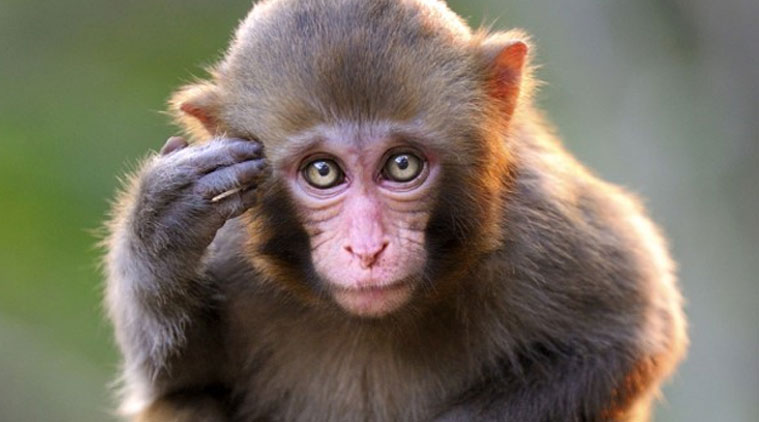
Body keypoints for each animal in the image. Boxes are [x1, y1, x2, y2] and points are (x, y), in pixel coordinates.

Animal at [103, 0, 687, 421]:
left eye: (402, 165)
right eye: (323, 172)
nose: (367, 249)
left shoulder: (543, 223)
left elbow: (628, 339)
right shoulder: (229, 233)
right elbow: (182, 376)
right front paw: (160, 228)